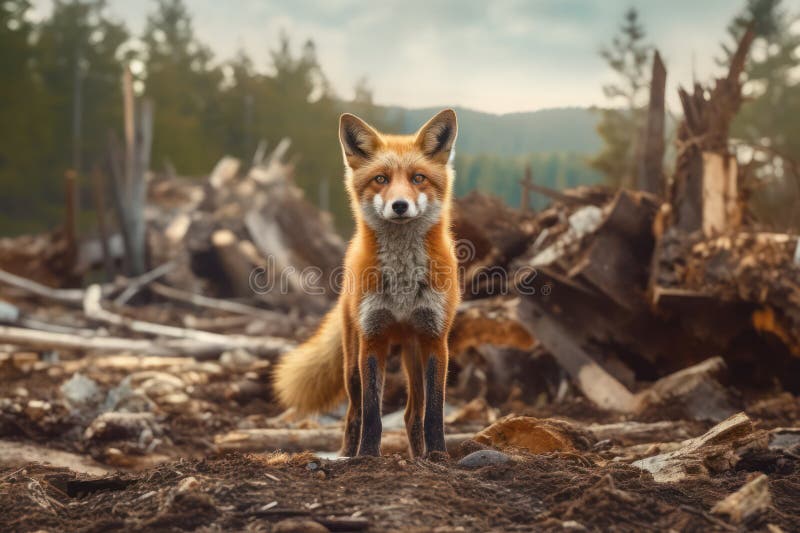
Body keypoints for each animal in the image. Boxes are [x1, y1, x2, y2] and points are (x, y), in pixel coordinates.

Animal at [272, 109, 460, 457]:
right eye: (381, 179)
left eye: (418, 178)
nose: (399, 205)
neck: (402, 286)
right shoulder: (372, 338)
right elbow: (372, 412)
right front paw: (368, 456)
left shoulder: (435, 340)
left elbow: (434, 413)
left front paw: (439, 455)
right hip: (352, 362)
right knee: (354, 411)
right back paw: (348, 453)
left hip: (414, 356)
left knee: (412, 413)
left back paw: (419, 456)